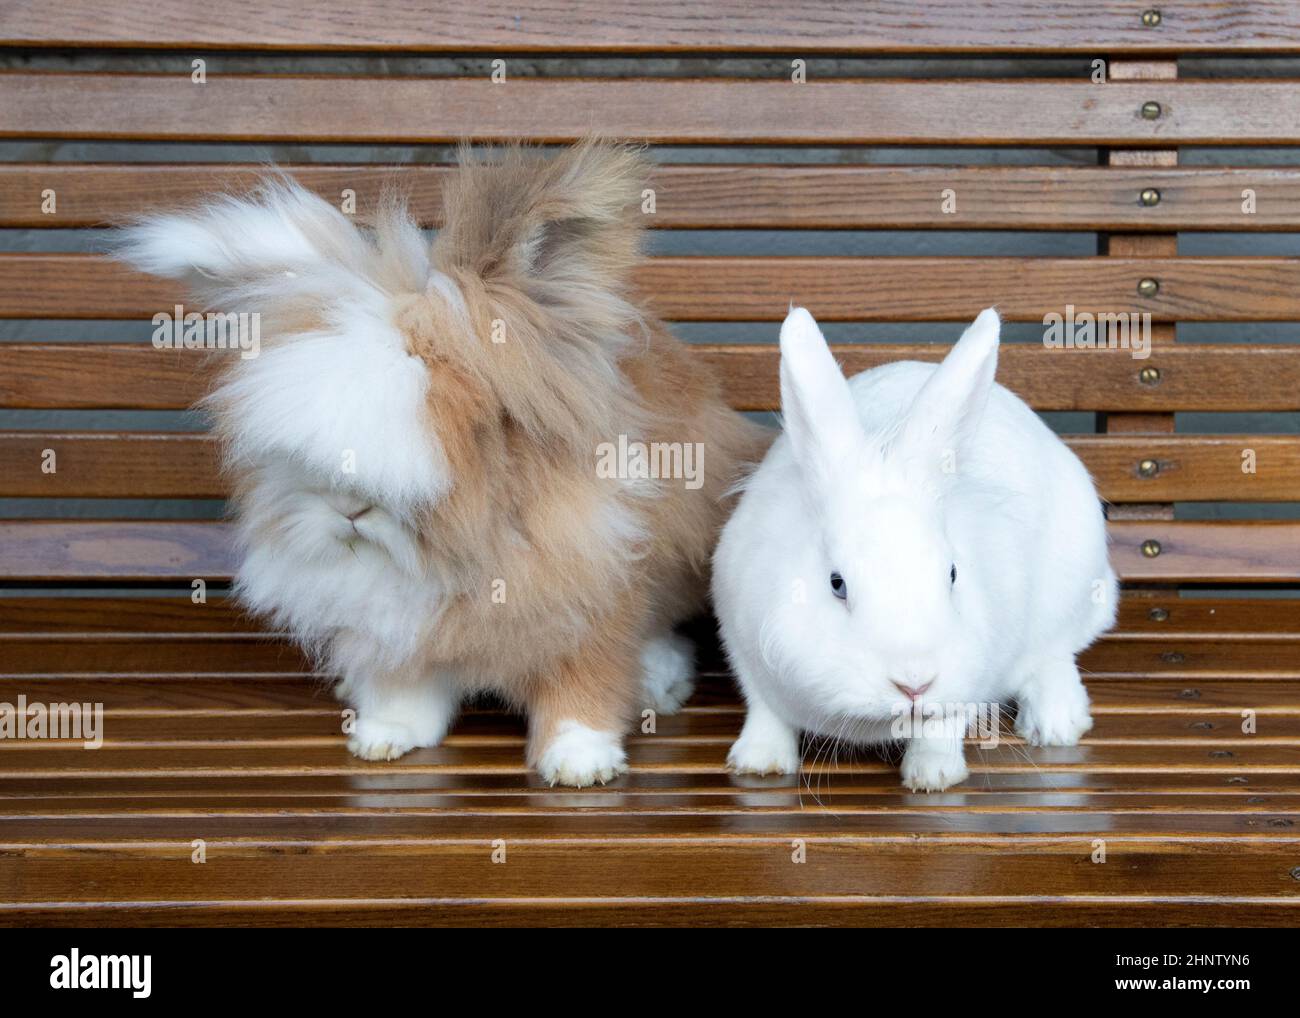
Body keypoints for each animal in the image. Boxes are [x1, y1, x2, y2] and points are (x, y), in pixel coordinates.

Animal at [117, 142, 769, 786]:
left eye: (481, 421)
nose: (350, 508)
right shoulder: (390, 622)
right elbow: (404, 688)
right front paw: (384, 737)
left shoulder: (594, 599)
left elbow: (583, 685)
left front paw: (579, 763)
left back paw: (657, 685)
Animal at [712, 305, 1118, 792]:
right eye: (836, 583)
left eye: (953, 574)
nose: (914, 684)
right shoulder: (743, 649)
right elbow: (765, 713)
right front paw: (759, 762)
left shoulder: (969, 673)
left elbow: (941, 725)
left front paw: (933, 775)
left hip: (1073, 592)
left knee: (1055, 656)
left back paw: (1057, 723)